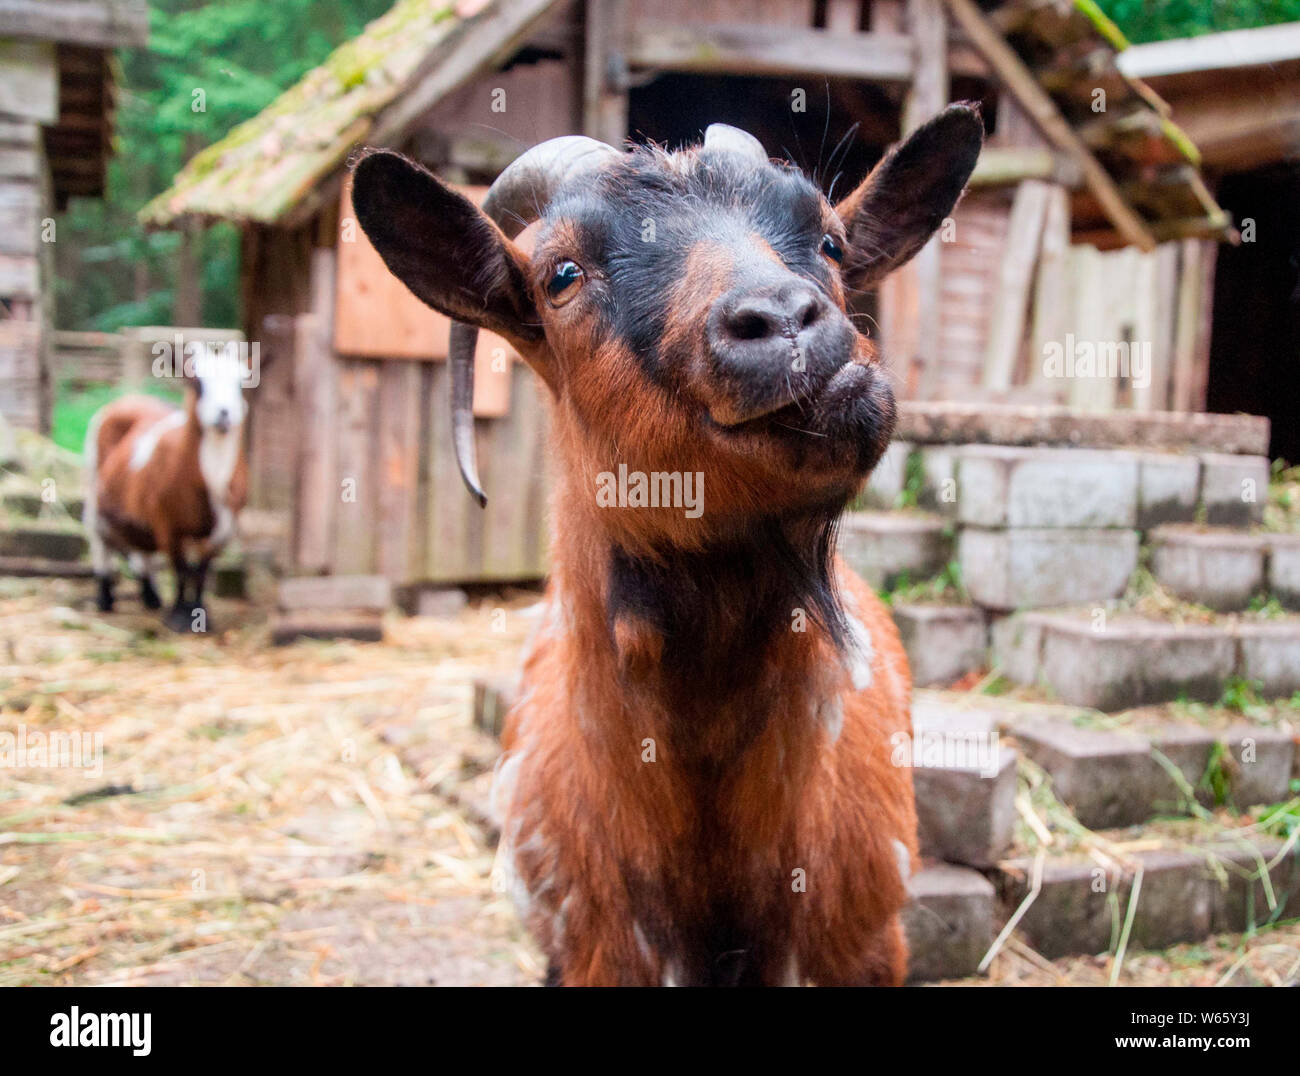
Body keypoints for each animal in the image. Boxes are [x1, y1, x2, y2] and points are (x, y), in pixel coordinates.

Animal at [83, 361, 247, 631]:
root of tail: (130, 399)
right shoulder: (167, 523)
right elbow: (180, 569)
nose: (224, 413)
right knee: (102, 542)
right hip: (93, 490)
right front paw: (179, 617)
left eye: (242, 383)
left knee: (140, 547)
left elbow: (201, 570)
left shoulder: (225, 528)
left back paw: (151, 596)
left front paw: (200, 614)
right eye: (198, 383)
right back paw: (105, 597)